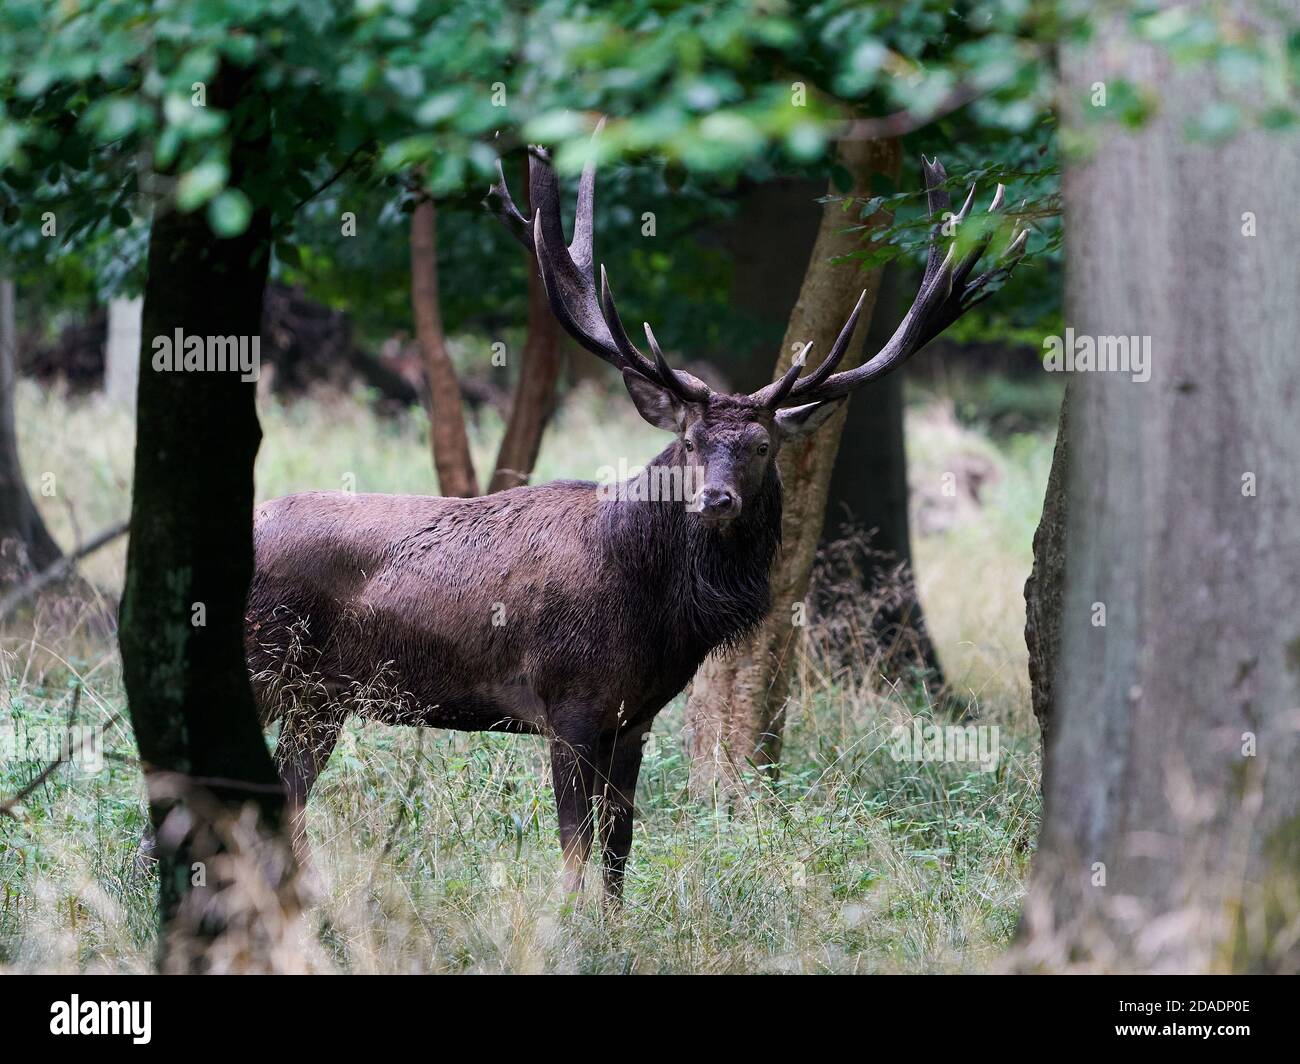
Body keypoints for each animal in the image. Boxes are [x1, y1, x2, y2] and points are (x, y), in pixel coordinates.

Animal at [245, 142, 1026, 900]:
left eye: (762, 446)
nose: (716, 500)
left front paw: (613, 928)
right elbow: (573, 850)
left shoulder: (636, 717)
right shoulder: (567, 704)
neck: (657, 614)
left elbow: (620, 849)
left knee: (285, 796)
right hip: (267, 667)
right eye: (692, 441)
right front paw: (563, 926)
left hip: (319, 700)